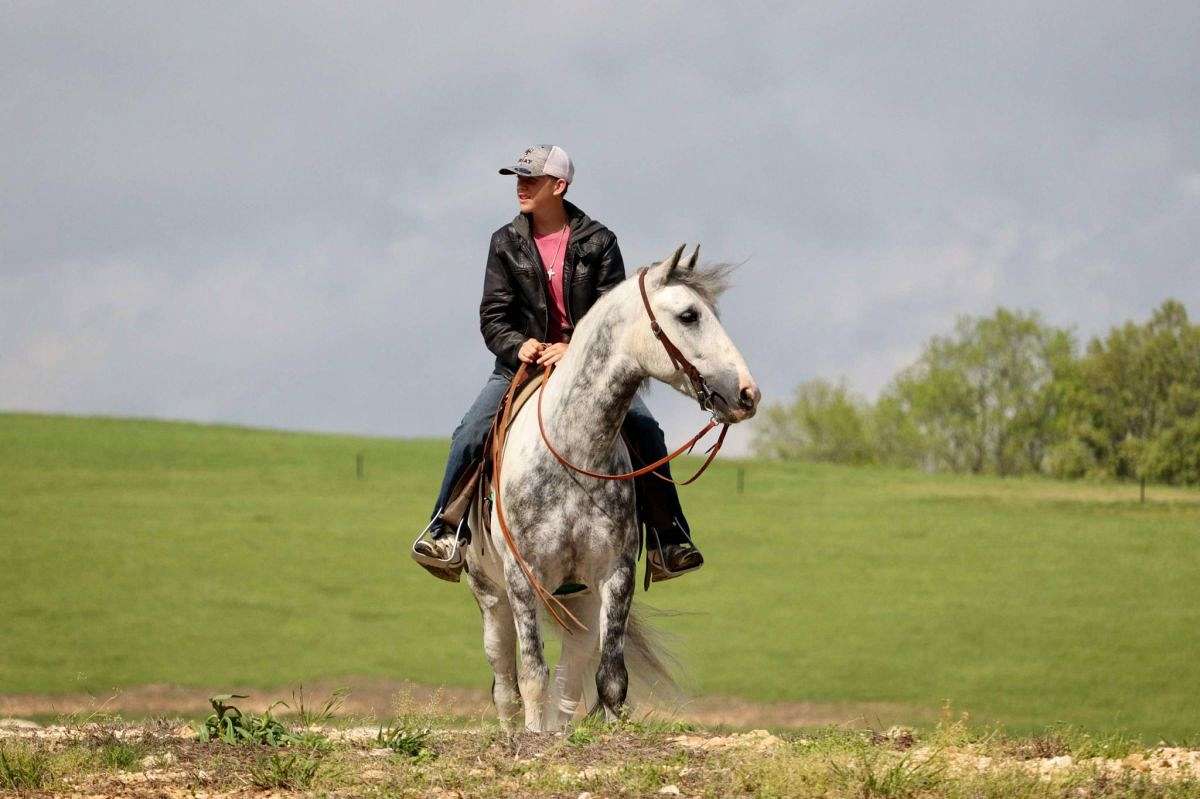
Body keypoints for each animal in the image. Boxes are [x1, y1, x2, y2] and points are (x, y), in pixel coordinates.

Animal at [462, 244, 760, 732]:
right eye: (689, 315)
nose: (748, 394)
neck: (573, 451)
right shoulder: (524, 579)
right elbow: (532, 674)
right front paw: (531, 738)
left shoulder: (614, 575)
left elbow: (610, 679)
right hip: (492, 598)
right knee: (505, 685)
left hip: (579, 603)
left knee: (569, 681)